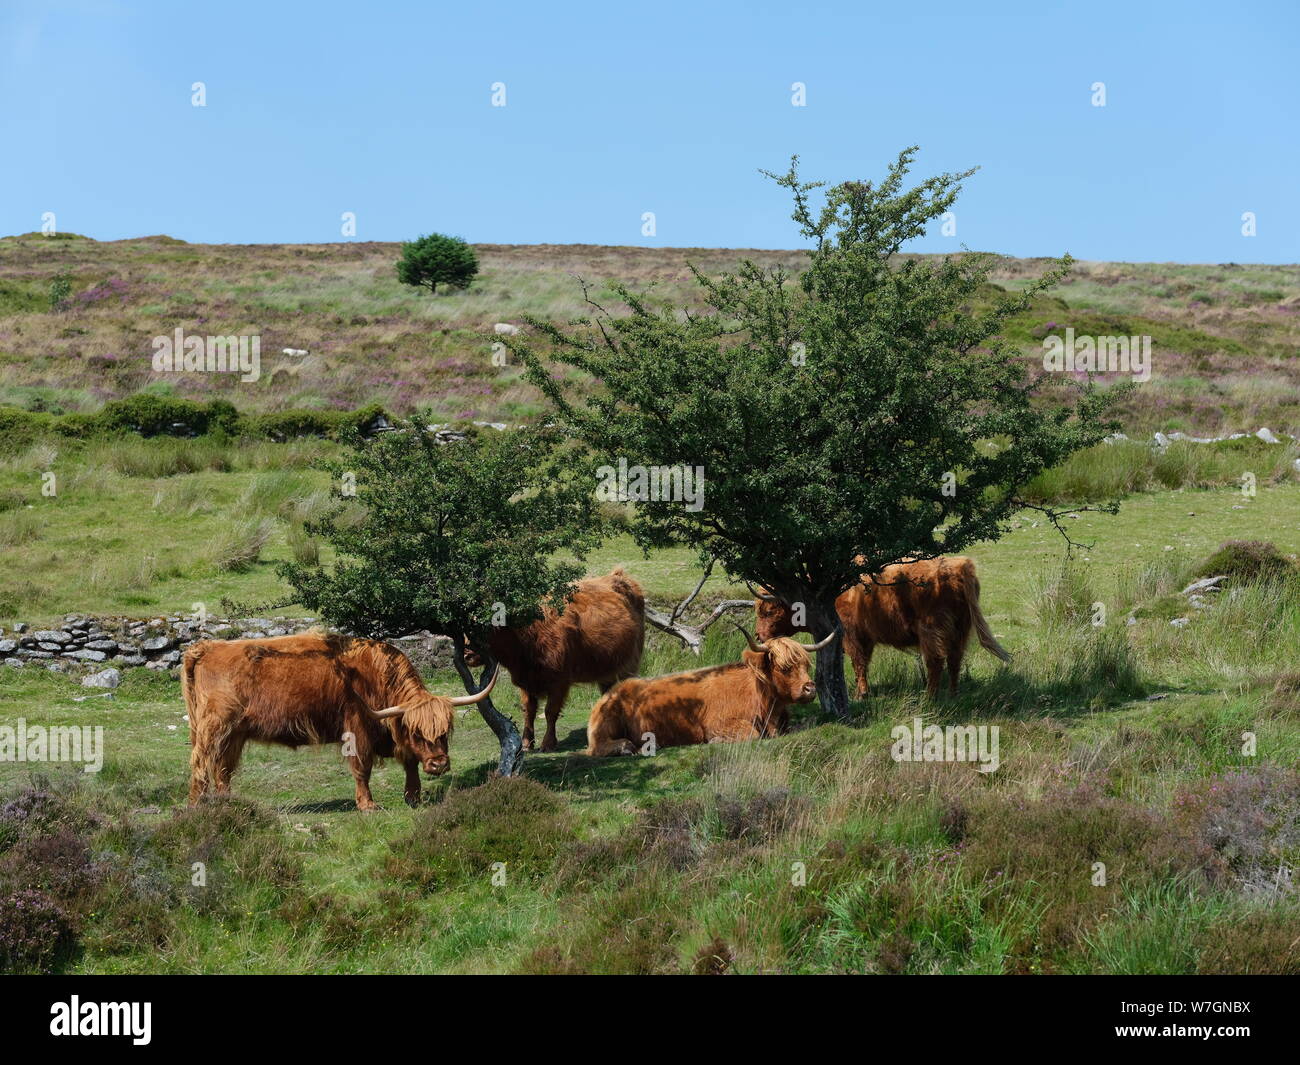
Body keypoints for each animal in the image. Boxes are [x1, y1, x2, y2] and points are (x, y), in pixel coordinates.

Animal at [182, 632, 497, 810]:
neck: (376, 676)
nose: (439, 764)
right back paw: (196, 806)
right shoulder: (357, 728)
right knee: (201, 763)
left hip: (234, 734)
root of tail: (206, 647)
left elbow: (409, 762)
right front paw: (367, 805)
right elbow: (362, 769)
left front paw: (413, 797)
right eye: (418, 732)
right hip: (213, 727)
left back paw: (227, 804)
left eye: (445, 732)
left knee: (223, 769)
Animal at [482, 567, 645, 753]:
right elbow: (528, 711)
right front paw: (526, 743)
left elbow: (550, 711)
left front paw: (548, 743)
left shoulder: (559, 681)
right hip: (607, 669)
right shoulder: (526, 682)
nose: (467, 654)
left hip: (629, 664)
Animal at [585, 628, 835, 756]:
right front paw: (716, 742)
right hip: (606, 721)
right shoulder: (719, 724)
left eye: (805, 665)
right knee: (597, 746)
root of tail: (613, 690)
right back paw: (626, 747)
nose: (810, 687)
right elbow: (751, 734)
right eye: (784, 667)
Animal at [755, 556, 1010, 698]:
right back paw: (953, 694)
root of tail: (958, 566)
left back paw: (929, 698)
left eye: (768, 610)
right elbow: (863, 663)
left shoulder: (850, 633)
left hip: (931, 630)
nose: (759, 636)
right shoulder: (865, 637)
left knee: (936, 662)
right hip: (960, 630)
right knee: (955, 660)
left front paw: (861, 694)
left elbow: (858, 663)